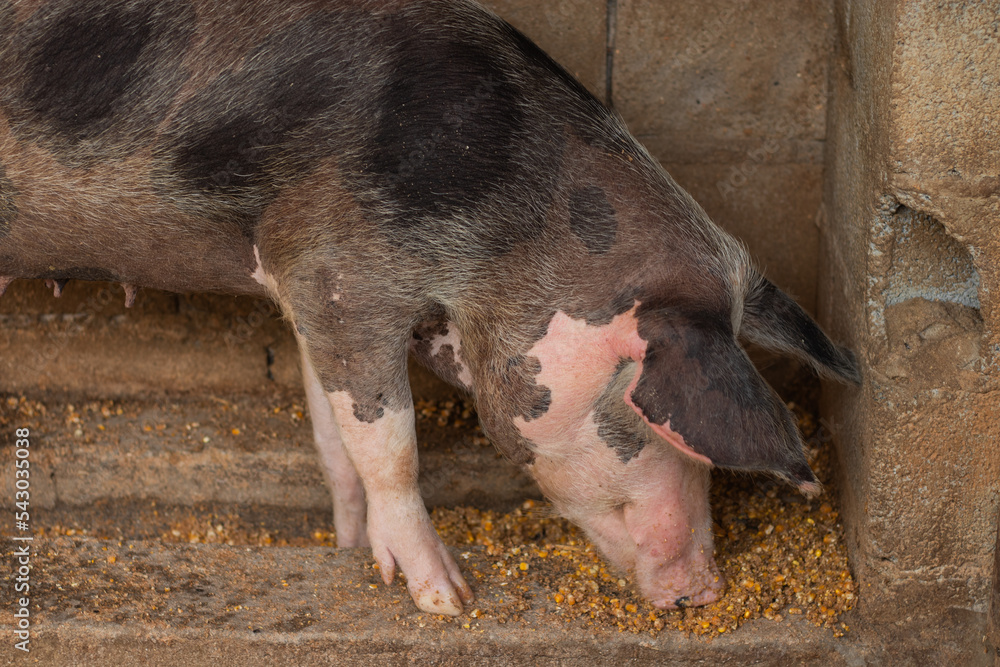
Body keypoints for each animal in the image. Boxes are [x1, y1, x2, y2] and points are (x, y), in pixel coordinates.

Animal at [0, 0, 860, 616]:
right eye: (649, 420)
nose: (704, 594)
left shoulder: (305, 281)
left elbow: (335, 436)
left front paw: (351, 551)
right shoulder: (339, 269)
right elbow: (390, 444)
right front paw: (448, 600)